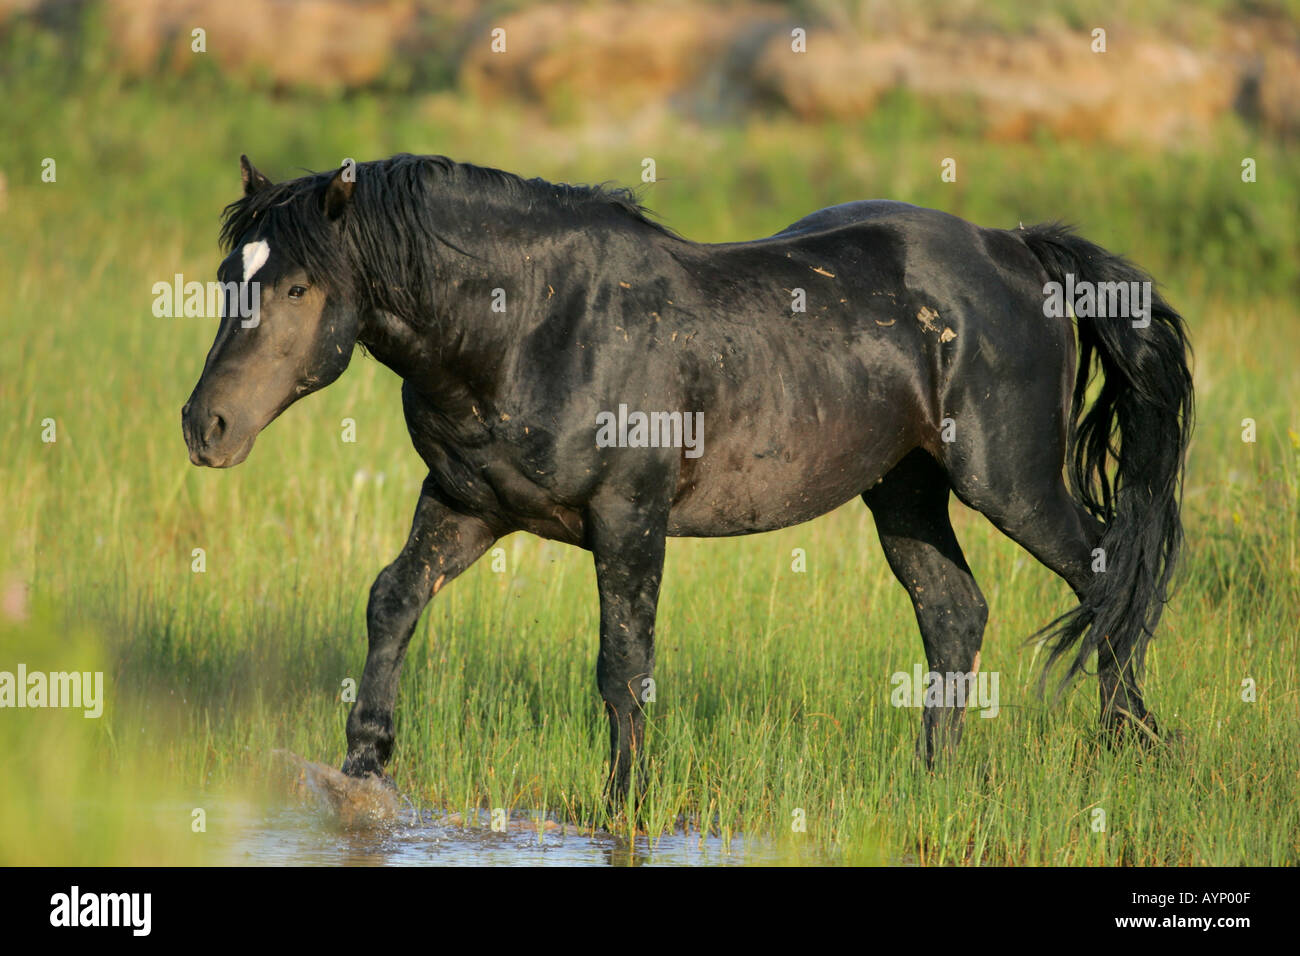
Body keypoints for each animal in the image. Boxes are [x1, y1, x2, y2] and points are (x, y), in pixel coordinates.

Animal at [182, 153, 1193, 802]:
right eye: (232, 272)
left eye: (301, 288)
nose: (206, 426)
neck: (534, 326)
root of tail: (1015, 248)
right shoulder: (467, 505)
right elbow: (393, 599)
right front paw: (364, 762)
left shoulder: (628, 518)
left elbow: (623, 666)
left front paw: (624, 804)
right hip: (904, 490)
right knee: (955, 612)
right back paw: (933, 780)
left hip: (1011, 483)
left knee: (1109, 577)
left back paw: (1136, 744)